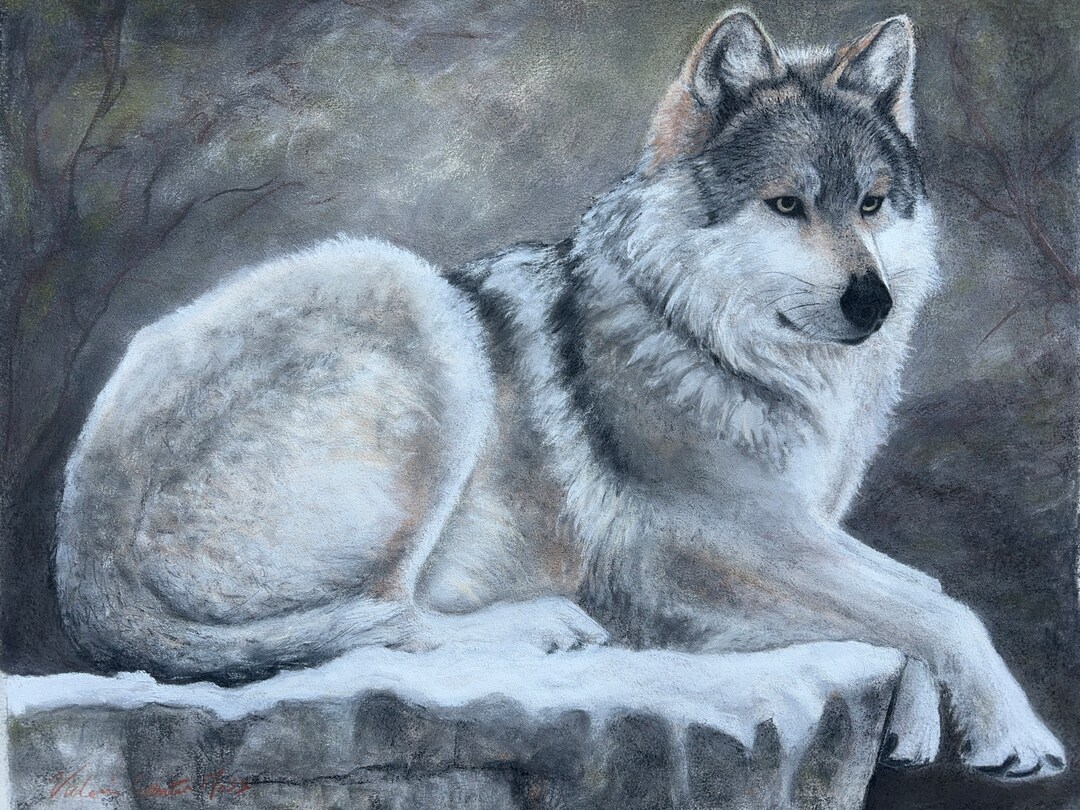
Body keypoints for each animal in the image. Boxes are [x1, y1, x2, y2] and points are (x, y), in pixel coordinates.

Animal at [55, 9, 1065, 779]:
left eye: (872, 204)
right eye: (787, 205)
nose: (873, 300)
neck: (710, 342)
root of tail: (81, 553)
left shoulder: (789, 530)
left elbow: (918, 591)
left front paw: (917, 722)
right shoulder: (708, 548)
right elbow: (941, 607)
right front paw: (1016, 737)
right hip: (417, 308)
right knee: (385, 619)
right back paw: (542, 629)